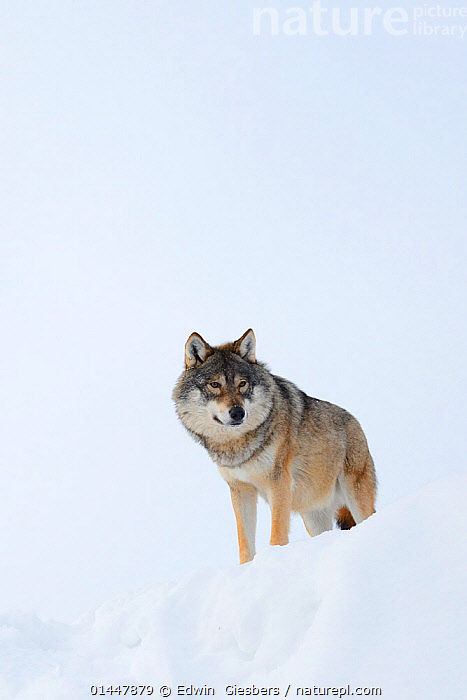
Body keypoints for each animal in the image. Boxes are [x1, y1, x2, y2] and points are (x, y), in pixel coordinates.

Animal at [173, 329, 377, 564]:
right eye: (215, 385)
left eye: (242, 383)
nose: (238, 412)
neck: (238, 446)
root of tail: (356, 424)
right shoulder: (241, 490)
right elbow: (245, 542)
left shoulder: (279, 484)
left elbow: (277, 534)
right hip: (313, 516)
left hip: (355, 498)